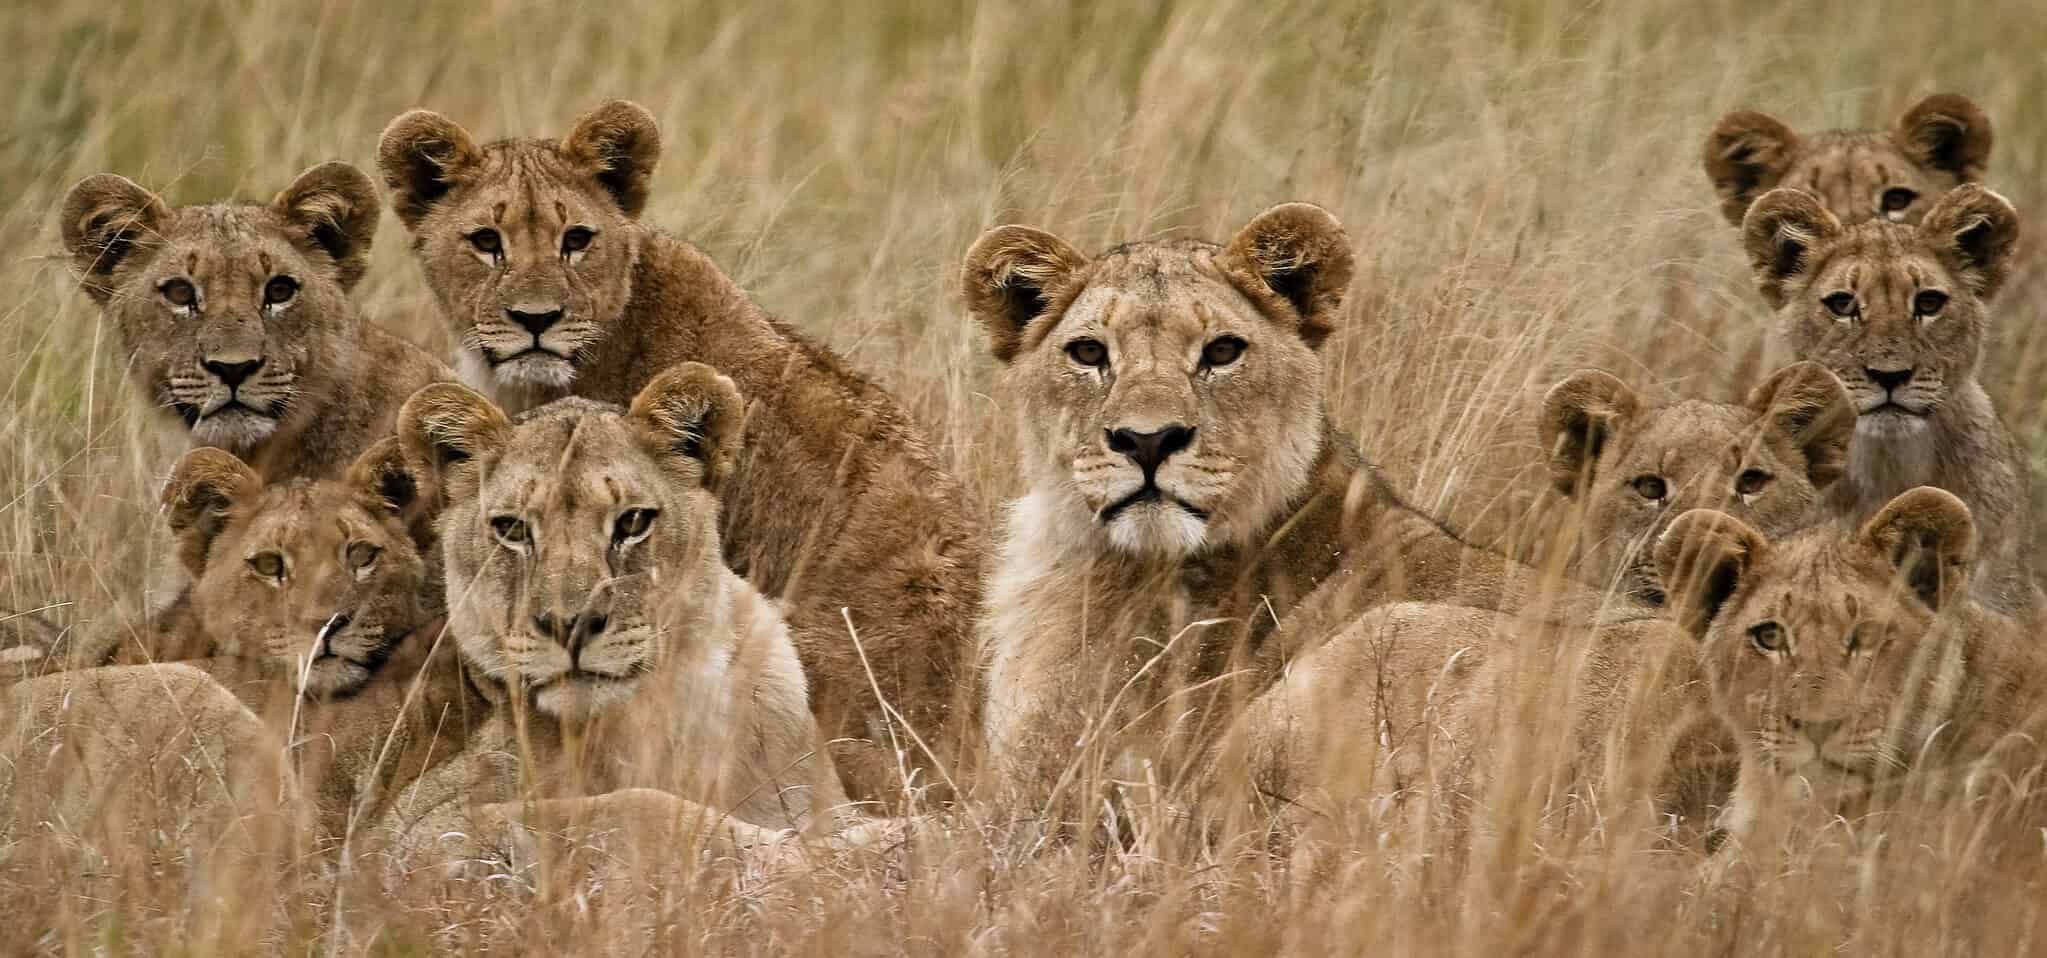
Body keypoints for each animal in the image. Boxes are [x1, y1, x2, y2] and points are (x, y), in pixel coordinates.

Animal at [379, 365, 849, 870]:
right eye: (513, 529)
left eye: (633, 522)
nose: (569, 624)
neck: (655, 715)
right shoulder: (403, 837)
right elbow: (635, 808)